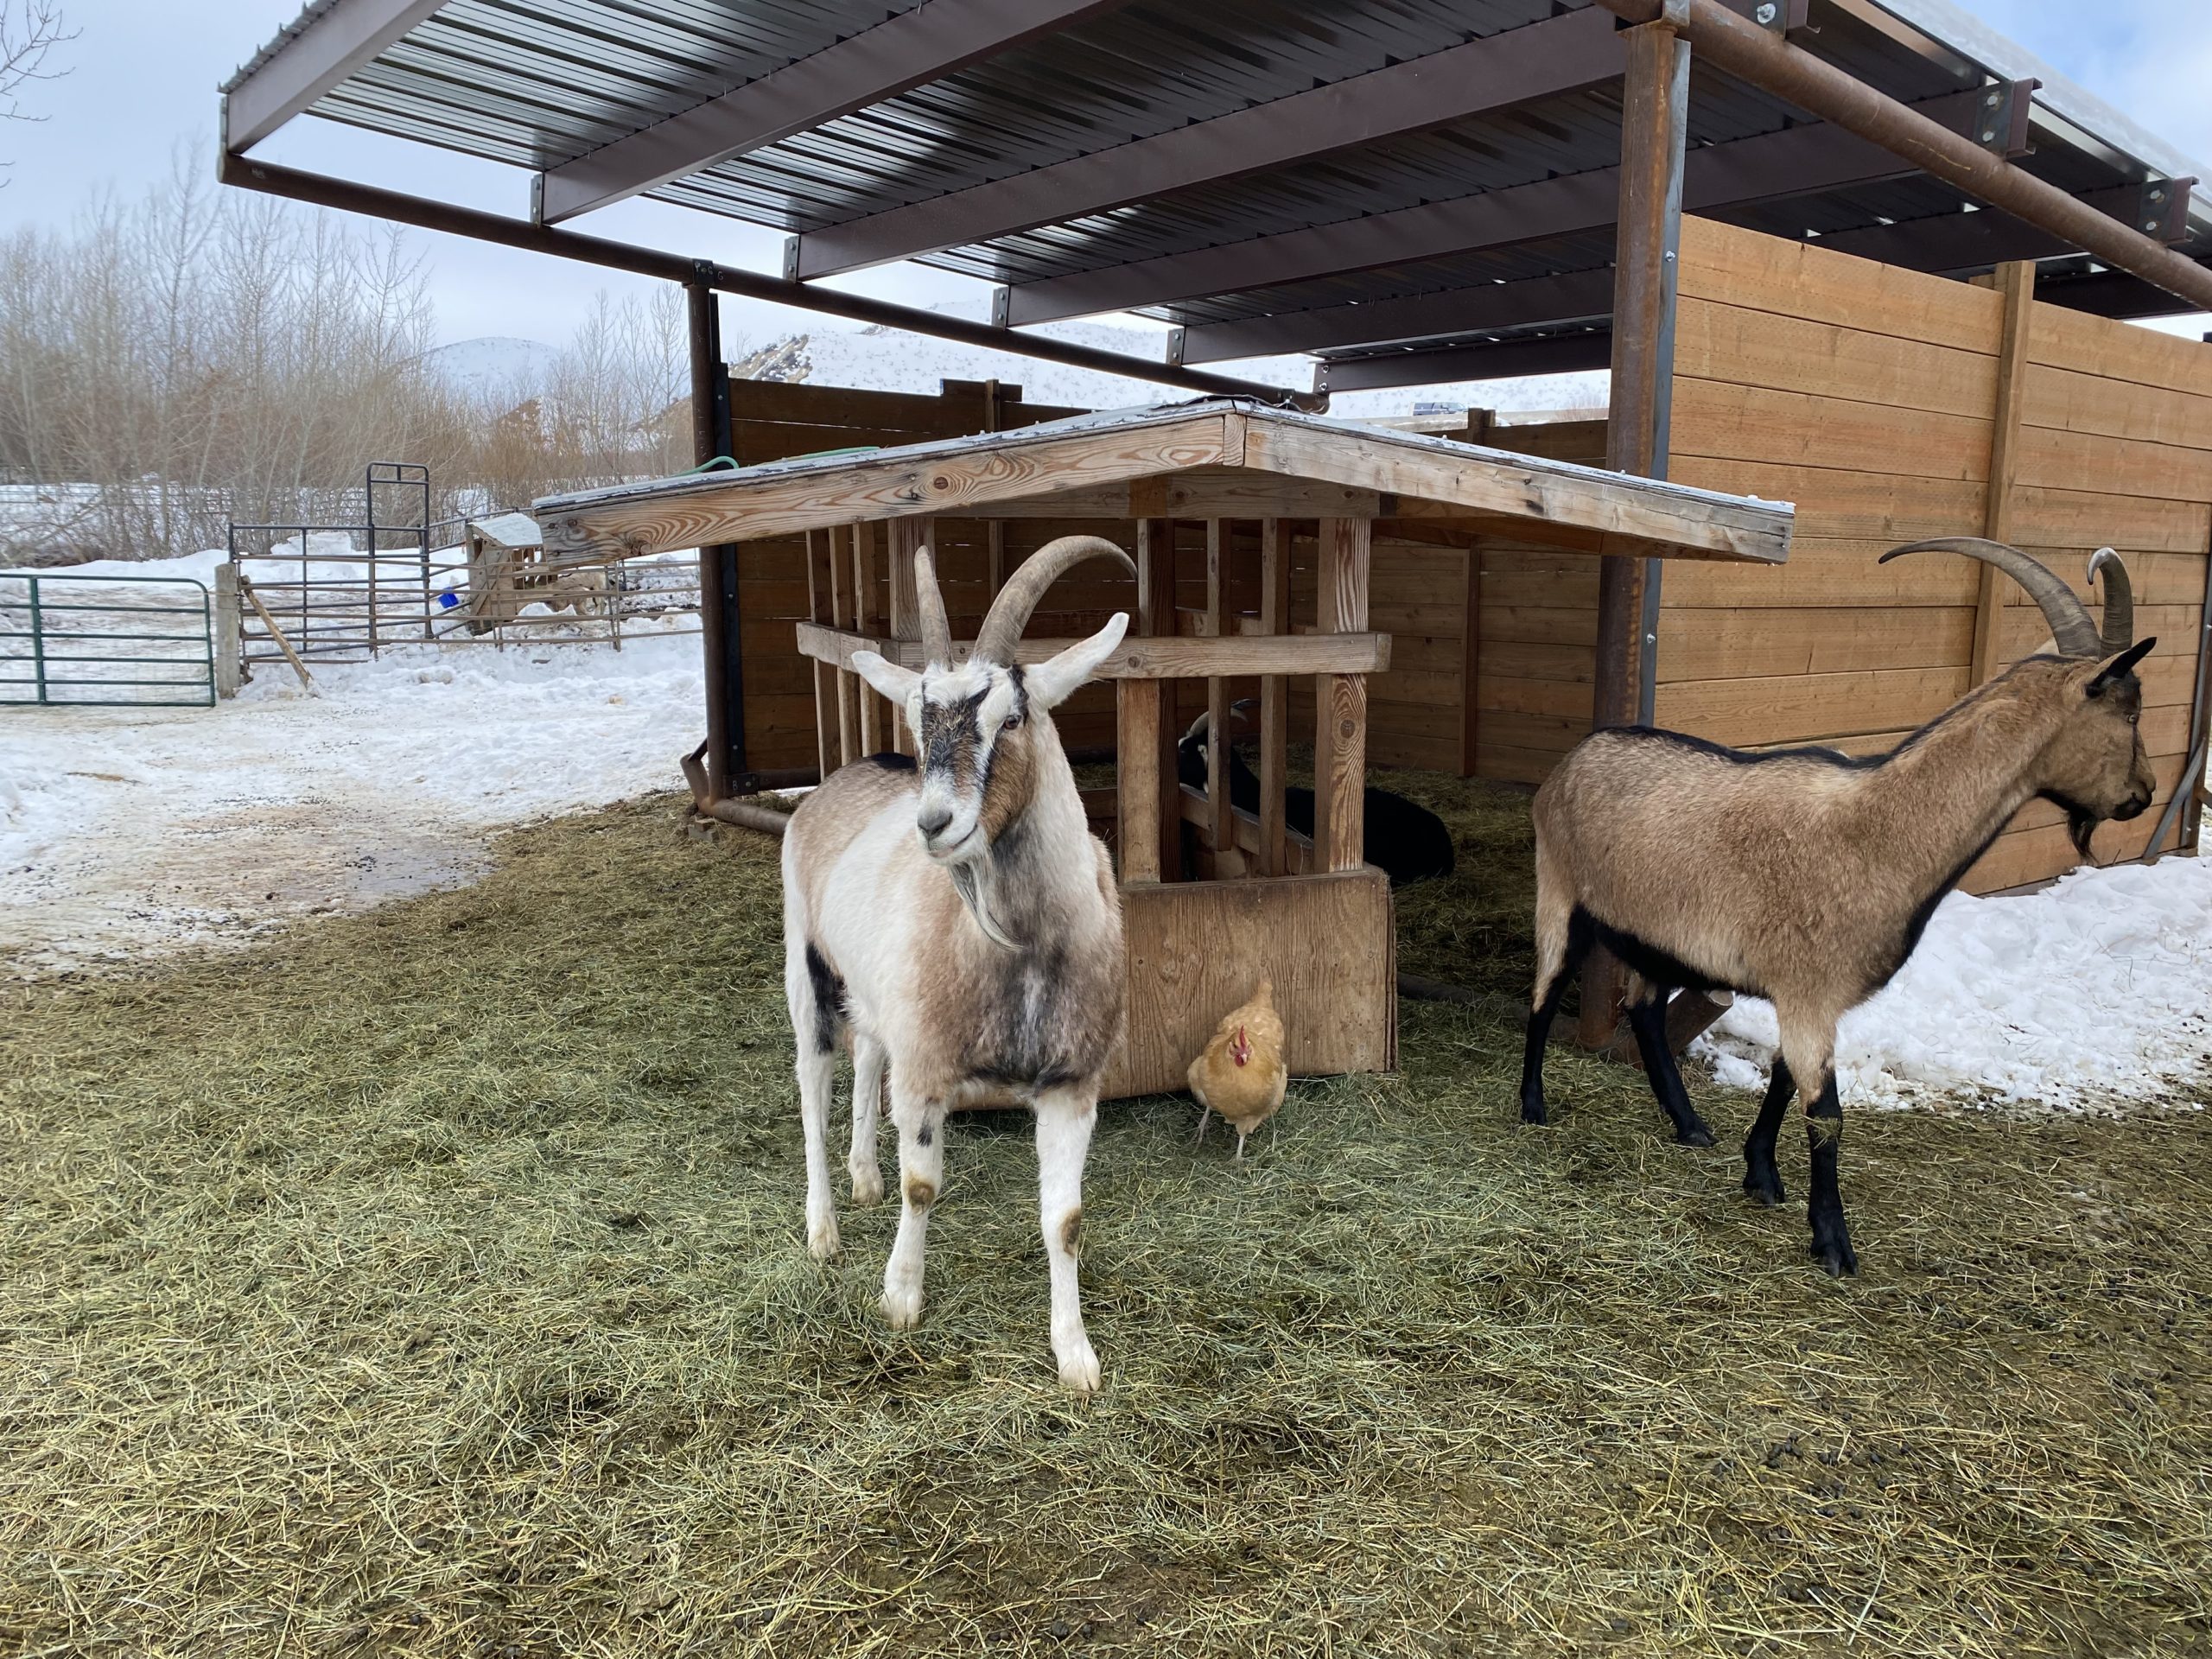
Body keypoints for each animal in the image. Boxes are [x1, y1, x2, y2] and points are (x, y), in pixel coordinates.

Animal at [781, 534, 1134, 1392]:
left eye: (1013, 715)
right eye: (918, 719)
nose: (935, 824)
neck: (1022, 950)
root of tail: (837, 783)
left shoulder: (1073, 1084)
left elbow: (1065, 1219)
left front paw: (1076, 1356)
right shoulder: (928, 1072)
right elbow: (924, 1184)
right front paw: (900, 1298)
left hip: (879, 999)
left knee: (865, 1058)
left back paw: (862, 1176)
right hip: (806, 968)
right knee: (812, 1083)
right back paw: (824, 1228)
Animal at [1518, 540, 2157, 1276]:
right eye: (2130, 711)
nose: (2144, 793)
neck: (1882, 832)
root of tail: (1573, 759)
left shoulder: (1808, 995)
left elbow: (1783, 1080)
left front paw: (1761, 1175)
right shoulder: (1809, 989)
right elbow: (1826, 1113)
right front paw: (1833, 1243)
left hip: (1657, 934)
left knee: (1645, 1010)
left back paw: (1690, 1125)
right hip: (1561, 890)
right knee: (1546, 991)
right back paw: (1533, 1106)